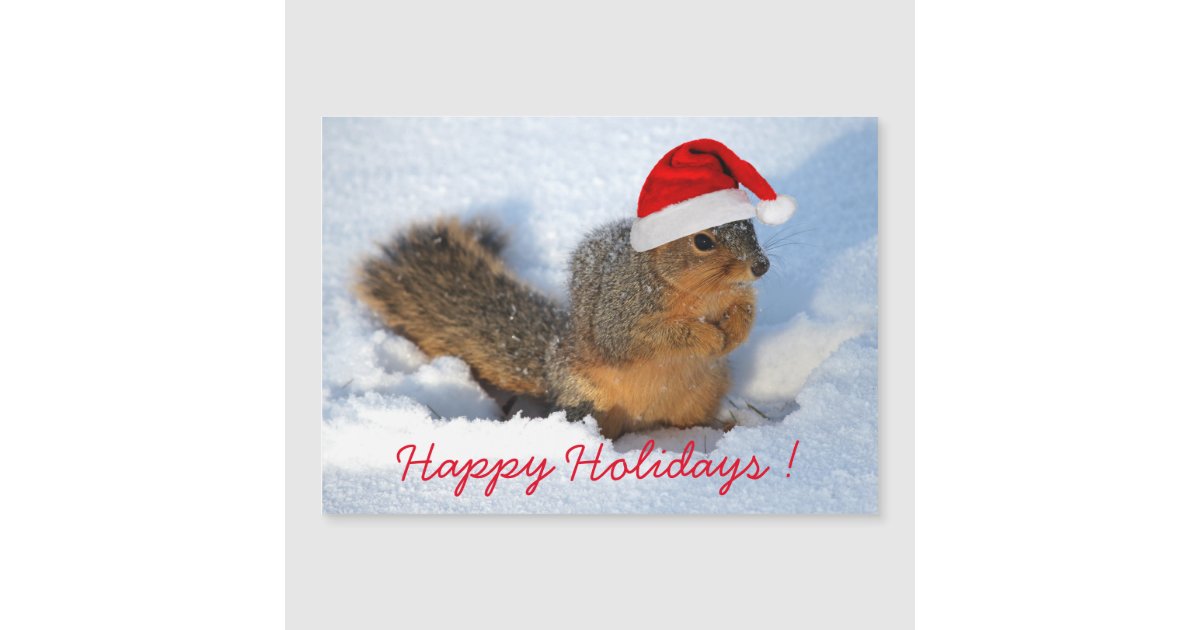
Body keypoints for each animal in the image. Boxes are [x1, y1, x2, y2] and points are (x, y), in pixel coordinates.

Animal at [354, 139, 797, 439]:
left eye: (750, 225)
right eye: (702, 241)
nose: (761, 265)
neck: (703, 293)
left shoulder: (738, 294)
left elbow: (745, 310)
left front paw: (733, 333)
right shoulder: (622, 314)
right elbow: (651, 337)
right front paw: (707, 337)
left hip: (703, 393)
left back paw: (725, 428)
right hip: (587, 396)